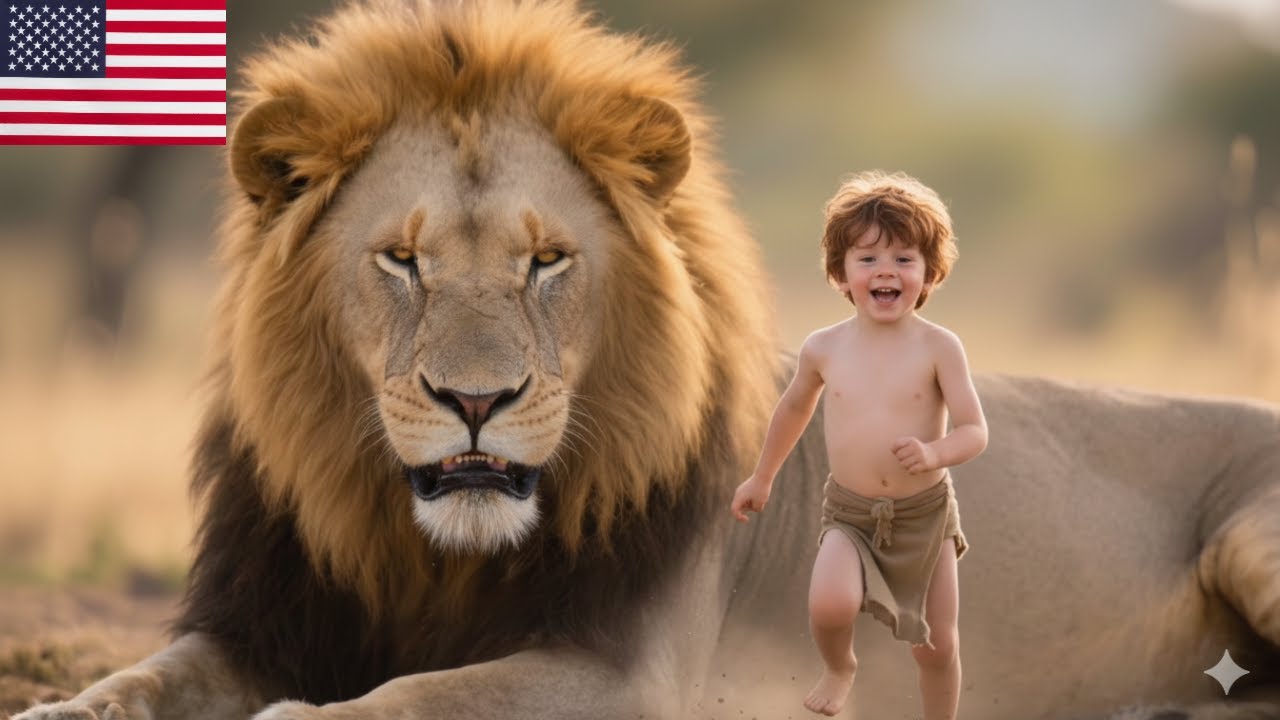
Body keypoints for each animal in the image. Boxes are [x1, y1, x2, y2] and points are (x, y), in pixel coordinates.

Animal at [14, 1, 1280, 719]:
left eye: (546, 261)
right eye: (401, 261)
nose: (475, 400)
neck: (422, 548)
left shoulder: (622, 670)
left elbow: (423, 695)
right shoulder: (263, 622)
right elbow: (140, 679)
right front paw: (61, 712)